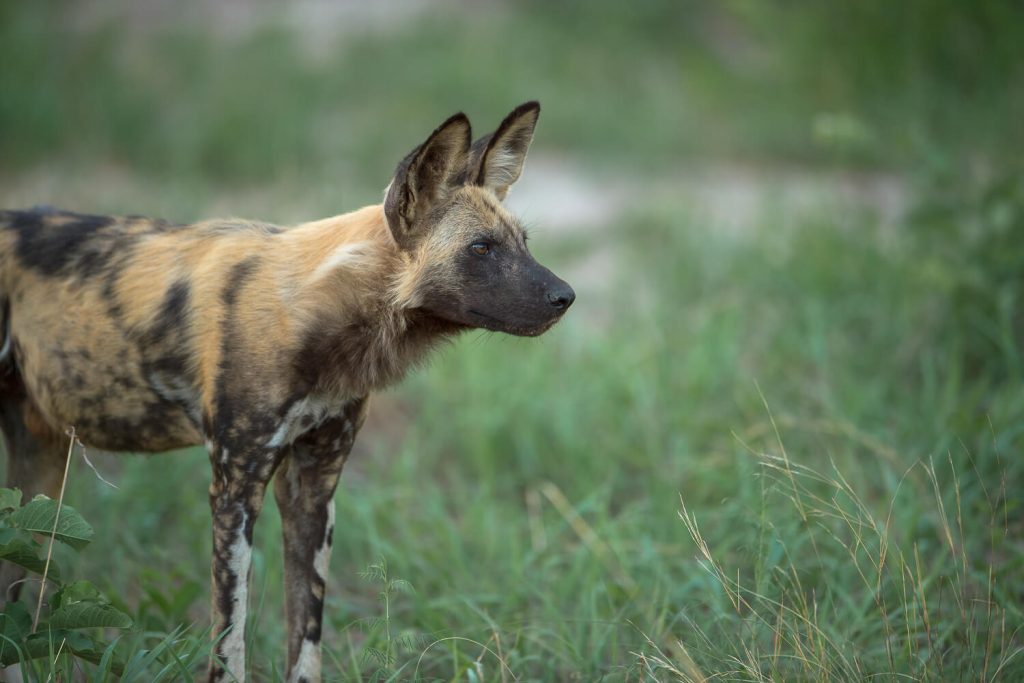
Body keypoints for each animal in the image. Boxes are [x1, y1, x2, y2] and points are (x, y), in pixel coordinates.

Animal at [0, 102, 573, 681]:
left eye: (524, 244)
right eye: (481, 248)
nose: (565, 297)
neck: (317, 315)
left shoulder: (312, 491)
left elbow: (306, 635)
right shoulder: (234, 491)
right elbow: (230, 642)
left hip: (38, 471)